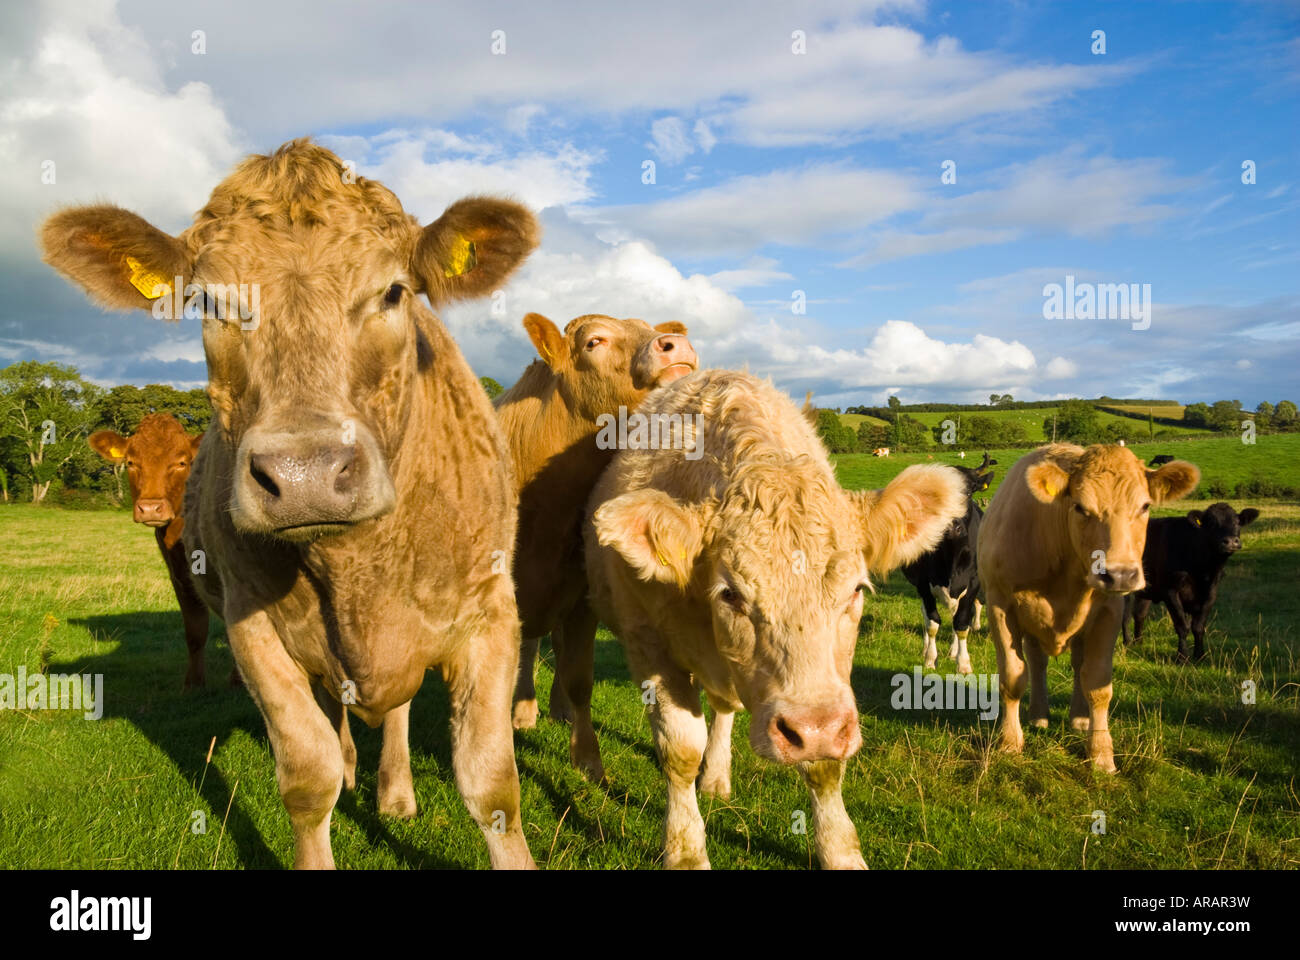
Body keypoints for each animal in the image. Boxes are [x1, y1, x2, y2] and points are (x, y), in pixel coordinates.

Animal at [41, 139, 539, 869]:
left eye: (394, 291)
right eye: (210, 302)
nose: (305, 474)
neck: (358, 569)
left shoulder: (492, 611)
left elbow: (492, 785)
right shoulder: (251, 626)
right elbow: (308, 777)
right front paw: (333, 782)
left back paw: (394, 789)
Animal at [585, 370, 967, 868]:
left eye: (855, 591)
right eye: (730, 594)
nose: (812, 728)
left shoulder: (829, 695)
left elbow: (824, 766)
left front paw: (840, 851)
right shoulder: (647, 643)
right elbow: (680, 751)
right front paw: (685, 851)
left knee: (724, 708)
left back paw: (717, 777)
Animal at [902, 452, 996, 674]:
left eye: (969, 492)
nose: (954, 527)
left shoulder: (973, 583)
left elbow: (961, 623)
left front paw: (963, 663)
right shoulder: (922, 584)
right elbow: (932, 622)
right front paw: (930, 659)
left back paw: (953, 651)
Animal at [978, 444, 1198, 772]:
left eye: (1145, 506)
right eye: (1080, 507)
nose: (1120, 574)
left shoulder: (1109, 611)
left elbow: (1097, 684)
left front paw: (1101, 754)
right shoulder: (1000, 605)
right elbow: (1013, 677)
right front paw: (1009, 743)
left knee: (1078, 666)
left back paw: (1080, 720)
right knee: (1038, 663)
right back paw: (1039, 716)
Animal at [1121, 503, 1260, 662]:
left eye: (1238, 522)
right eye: (1211, 523)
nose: (1231, 541)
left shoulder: (1211, 594)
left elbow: (1198, 626)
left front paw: (1200, 656)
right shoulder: (1170, 591)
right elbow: (1182, 625)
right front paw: (1182, 657)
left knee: (1139, 614)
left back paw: (1139, 643)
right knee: (1125, 614)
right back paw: (1127, 642)